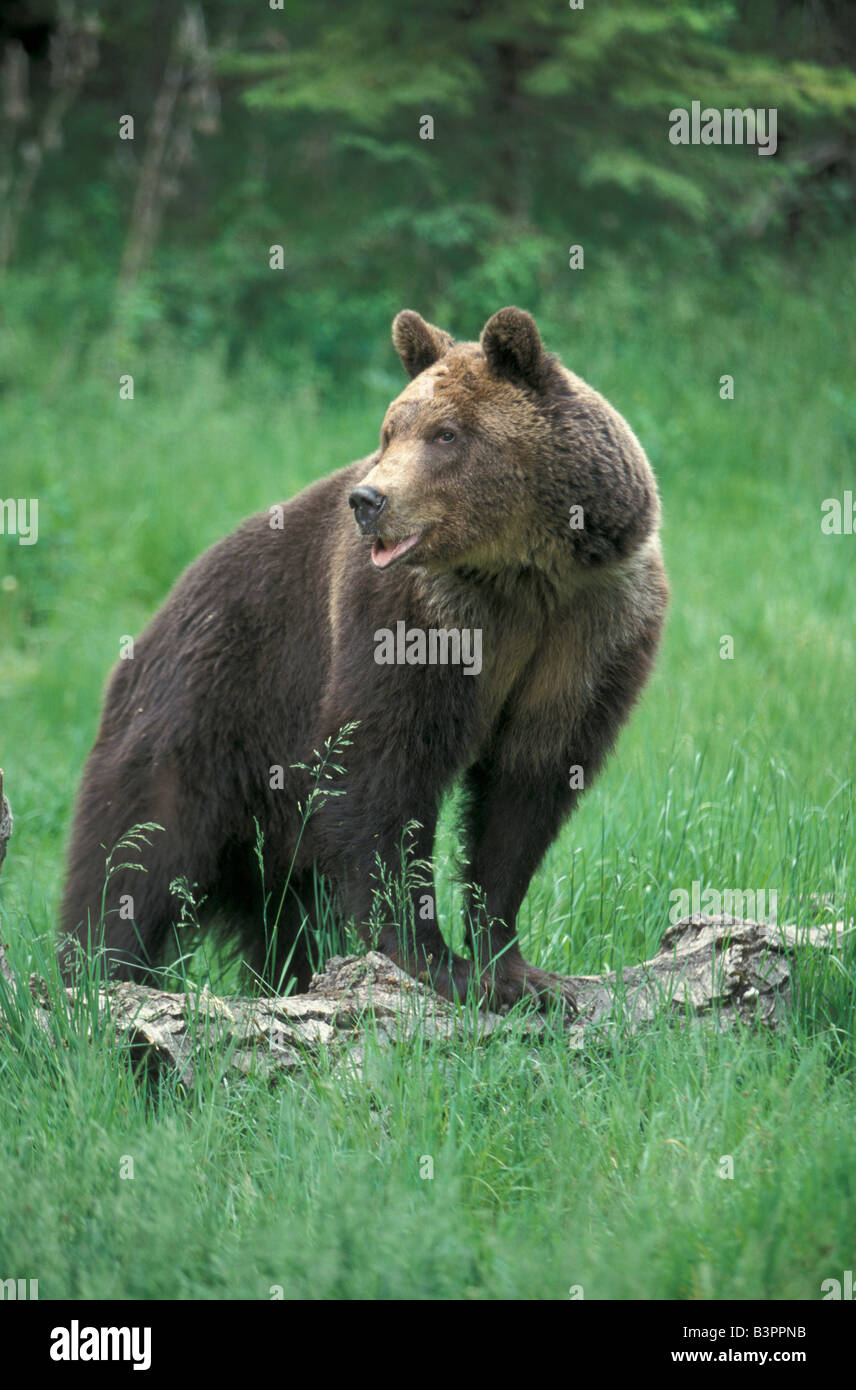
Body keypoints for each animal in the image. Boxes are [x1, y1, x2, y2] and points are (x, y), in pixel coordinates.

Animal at [59, 307, 668, 1011]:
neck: (518, 574)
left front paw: (518, 971)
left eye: (445, 433)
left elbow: (524, 797)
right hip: (199, 721)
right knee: (130, 864)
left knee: (282, 916)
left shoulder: (590, 630)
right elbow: (383, 776)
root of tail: (149, 632)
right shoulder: (409, 622)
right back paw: (95, 982)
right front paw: (436, 961)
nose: (368, 500)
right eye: (390, 429)